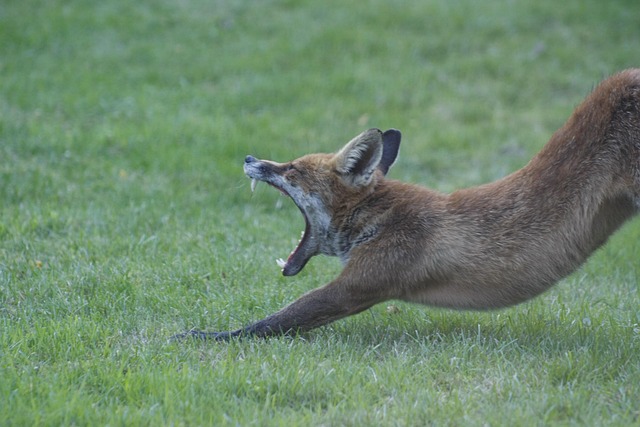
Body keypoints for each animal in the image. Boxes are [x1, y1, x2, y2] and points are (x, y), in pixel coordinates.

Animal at [174, 69, 640, 341]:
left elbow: (271, 322)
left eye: (292, 169)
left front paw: (204, 337)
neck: (380, 219)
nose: (250, 158)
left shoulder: (361, 284)